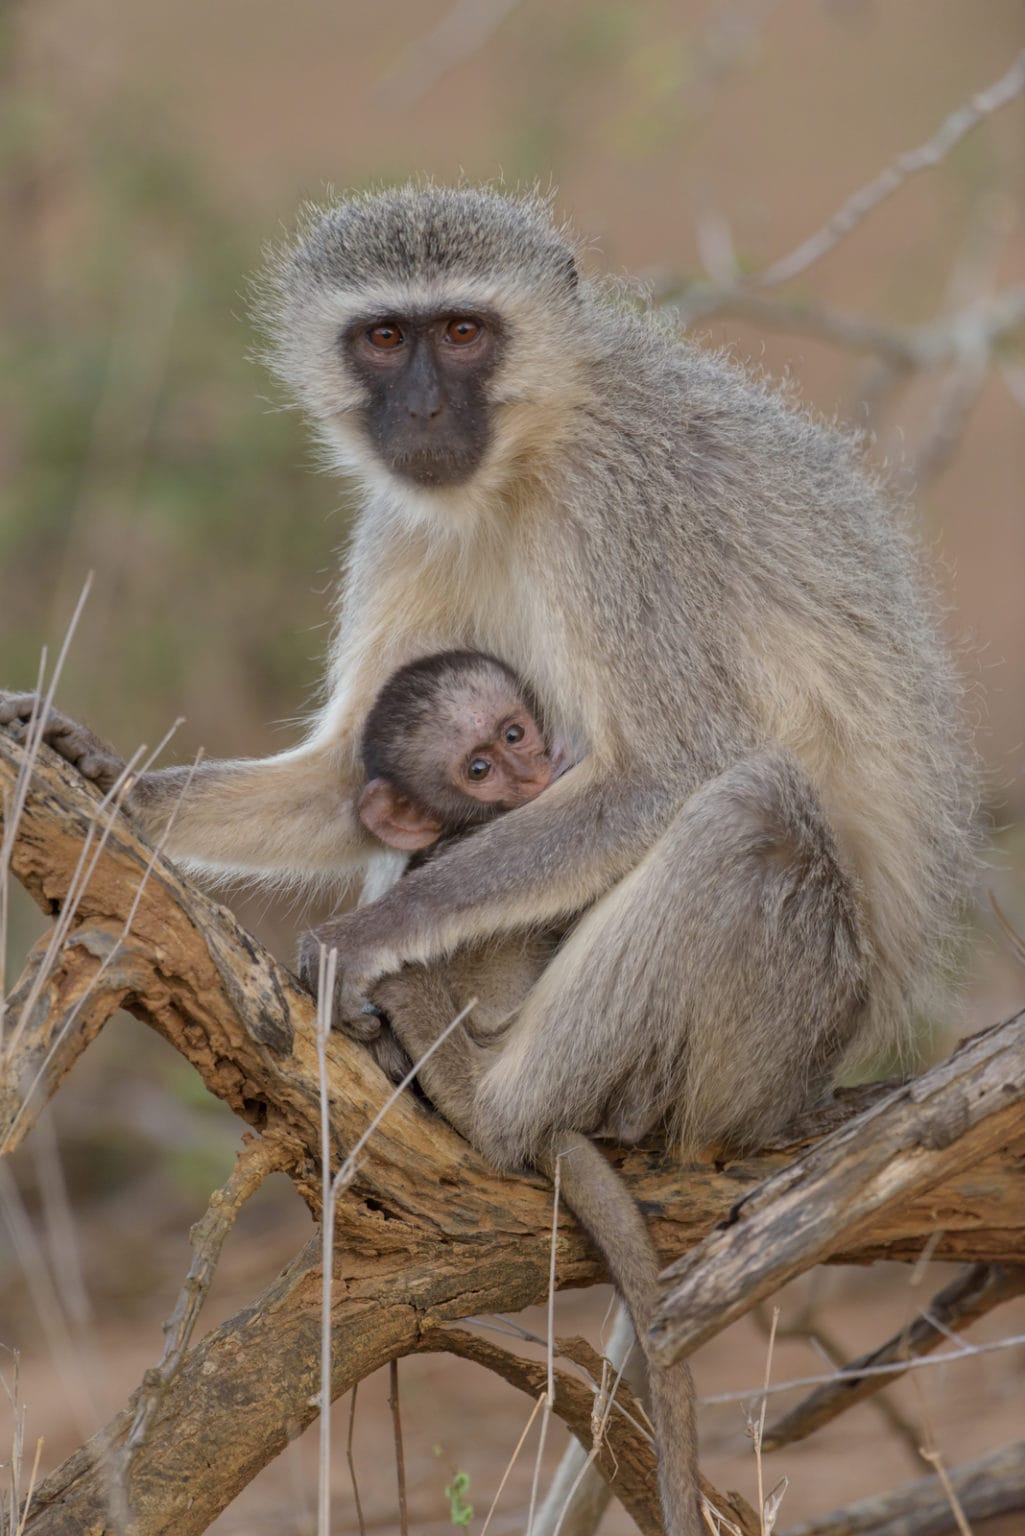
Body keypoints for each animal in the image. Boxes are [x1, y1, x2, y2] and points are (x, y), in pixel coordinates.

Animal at [0, 184, 976, 1536]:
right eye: (383, 339)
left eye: (462, 333)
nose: (419, 411)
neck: (524, 459)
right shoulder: (403, 522)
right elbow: (344, 782)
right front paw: (107, 781)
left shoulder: (619, 510)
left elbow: (672, 767)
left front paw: (357, 945)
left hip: (760, 1051)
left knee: (747, 808)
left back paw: (483, 1100)